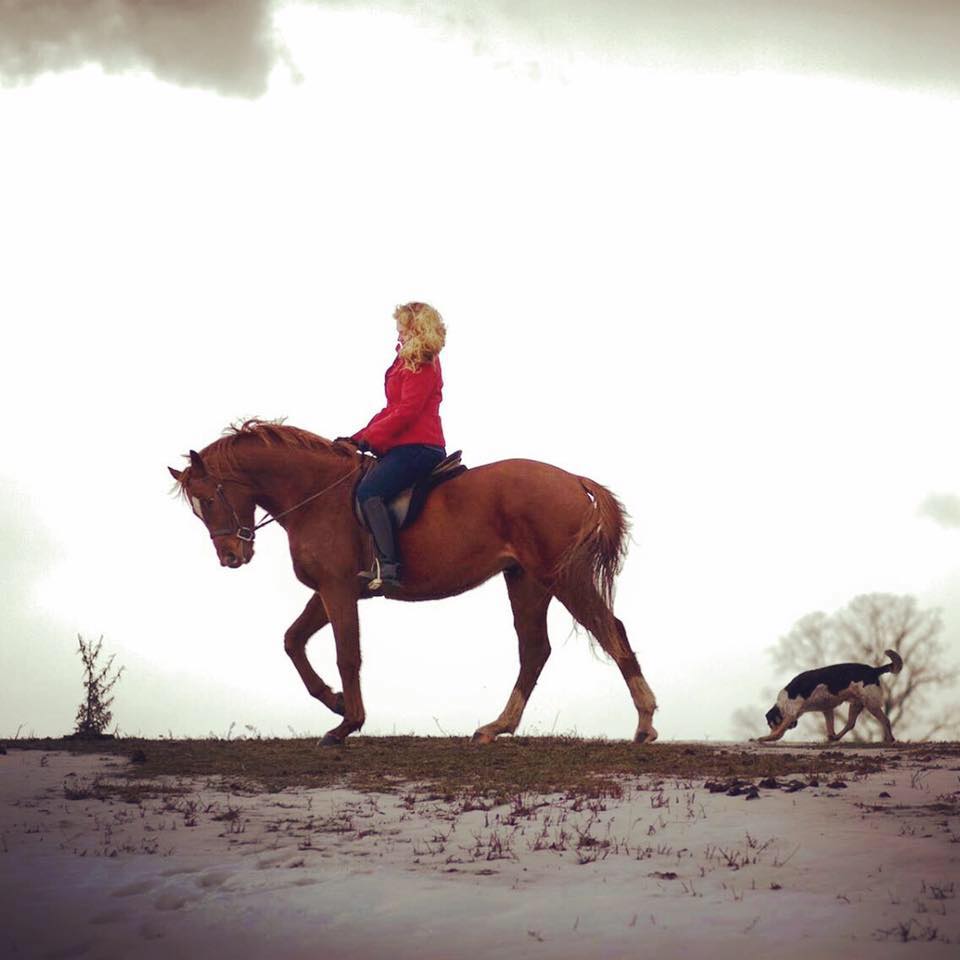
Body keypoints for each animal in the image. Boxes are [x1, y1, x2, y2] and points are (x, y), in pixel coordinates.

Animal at [168, 420, 658, 746]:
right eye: (196, 507)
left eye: (209, 498)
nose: (231, 557)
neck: (316, 494)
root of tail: (572, 479)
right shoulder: (328, 590)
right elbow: (292, 641)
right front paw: (335, 702)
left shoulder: (338, 588)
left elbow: (348, 655)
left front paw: (347, 723)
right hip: (526, 581)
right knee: (535, 649)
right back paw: (496, 727)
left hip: (561, 576)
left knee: (608, 631)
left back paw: (645, 721)